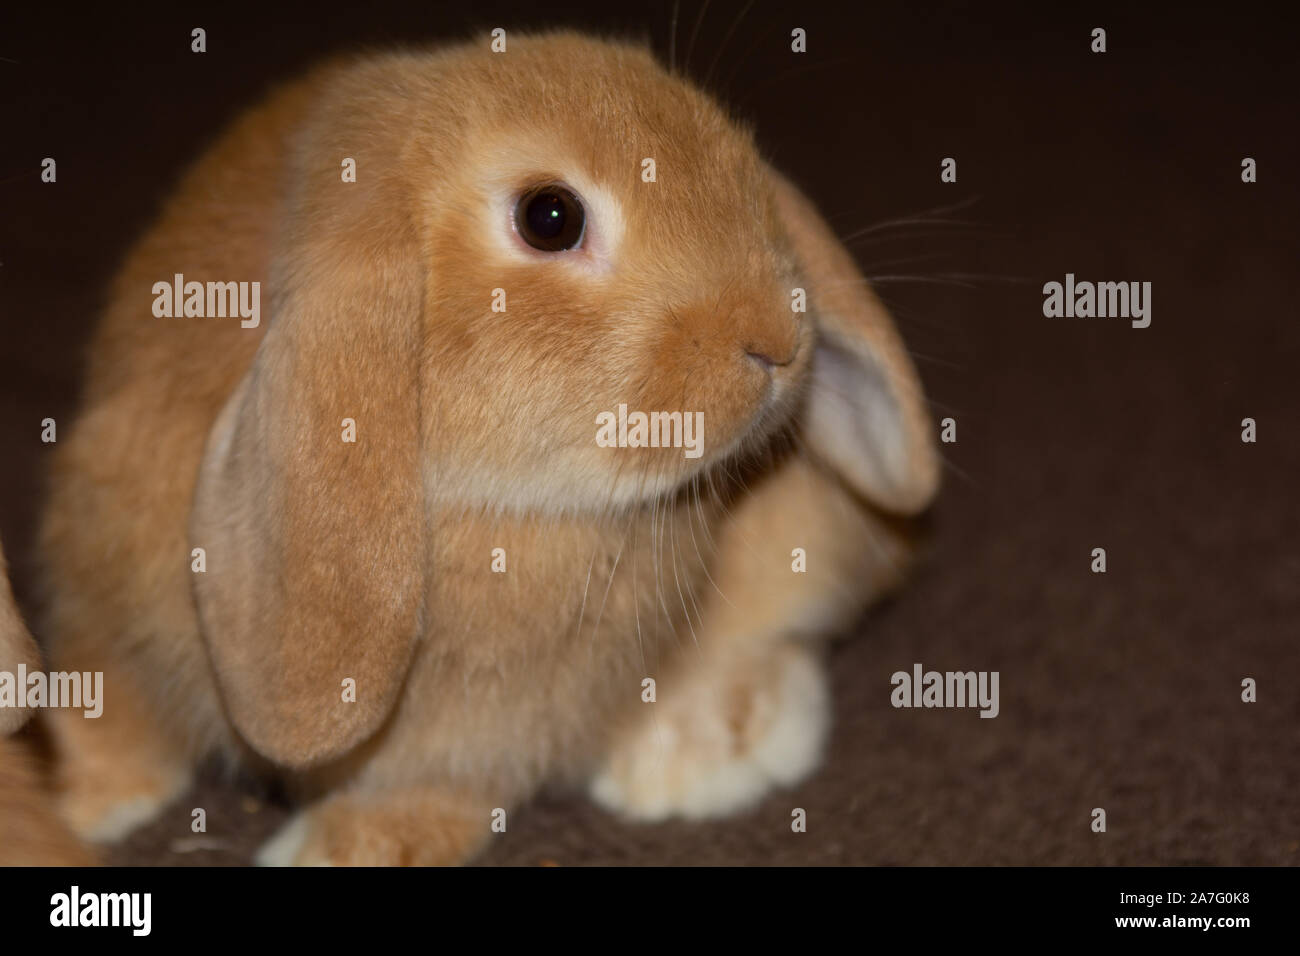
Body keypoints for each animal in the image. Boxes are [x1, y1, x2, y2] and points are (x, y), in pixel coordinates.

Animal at [38, 31, 939, 865]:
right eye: (550, 216)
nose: (779, 339)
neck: (475, 498)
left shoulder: (492, 727)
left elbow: (442, 786)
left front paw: (336, 847)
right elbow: (112, 708)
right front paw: (68, 795)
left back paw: (703, 751)